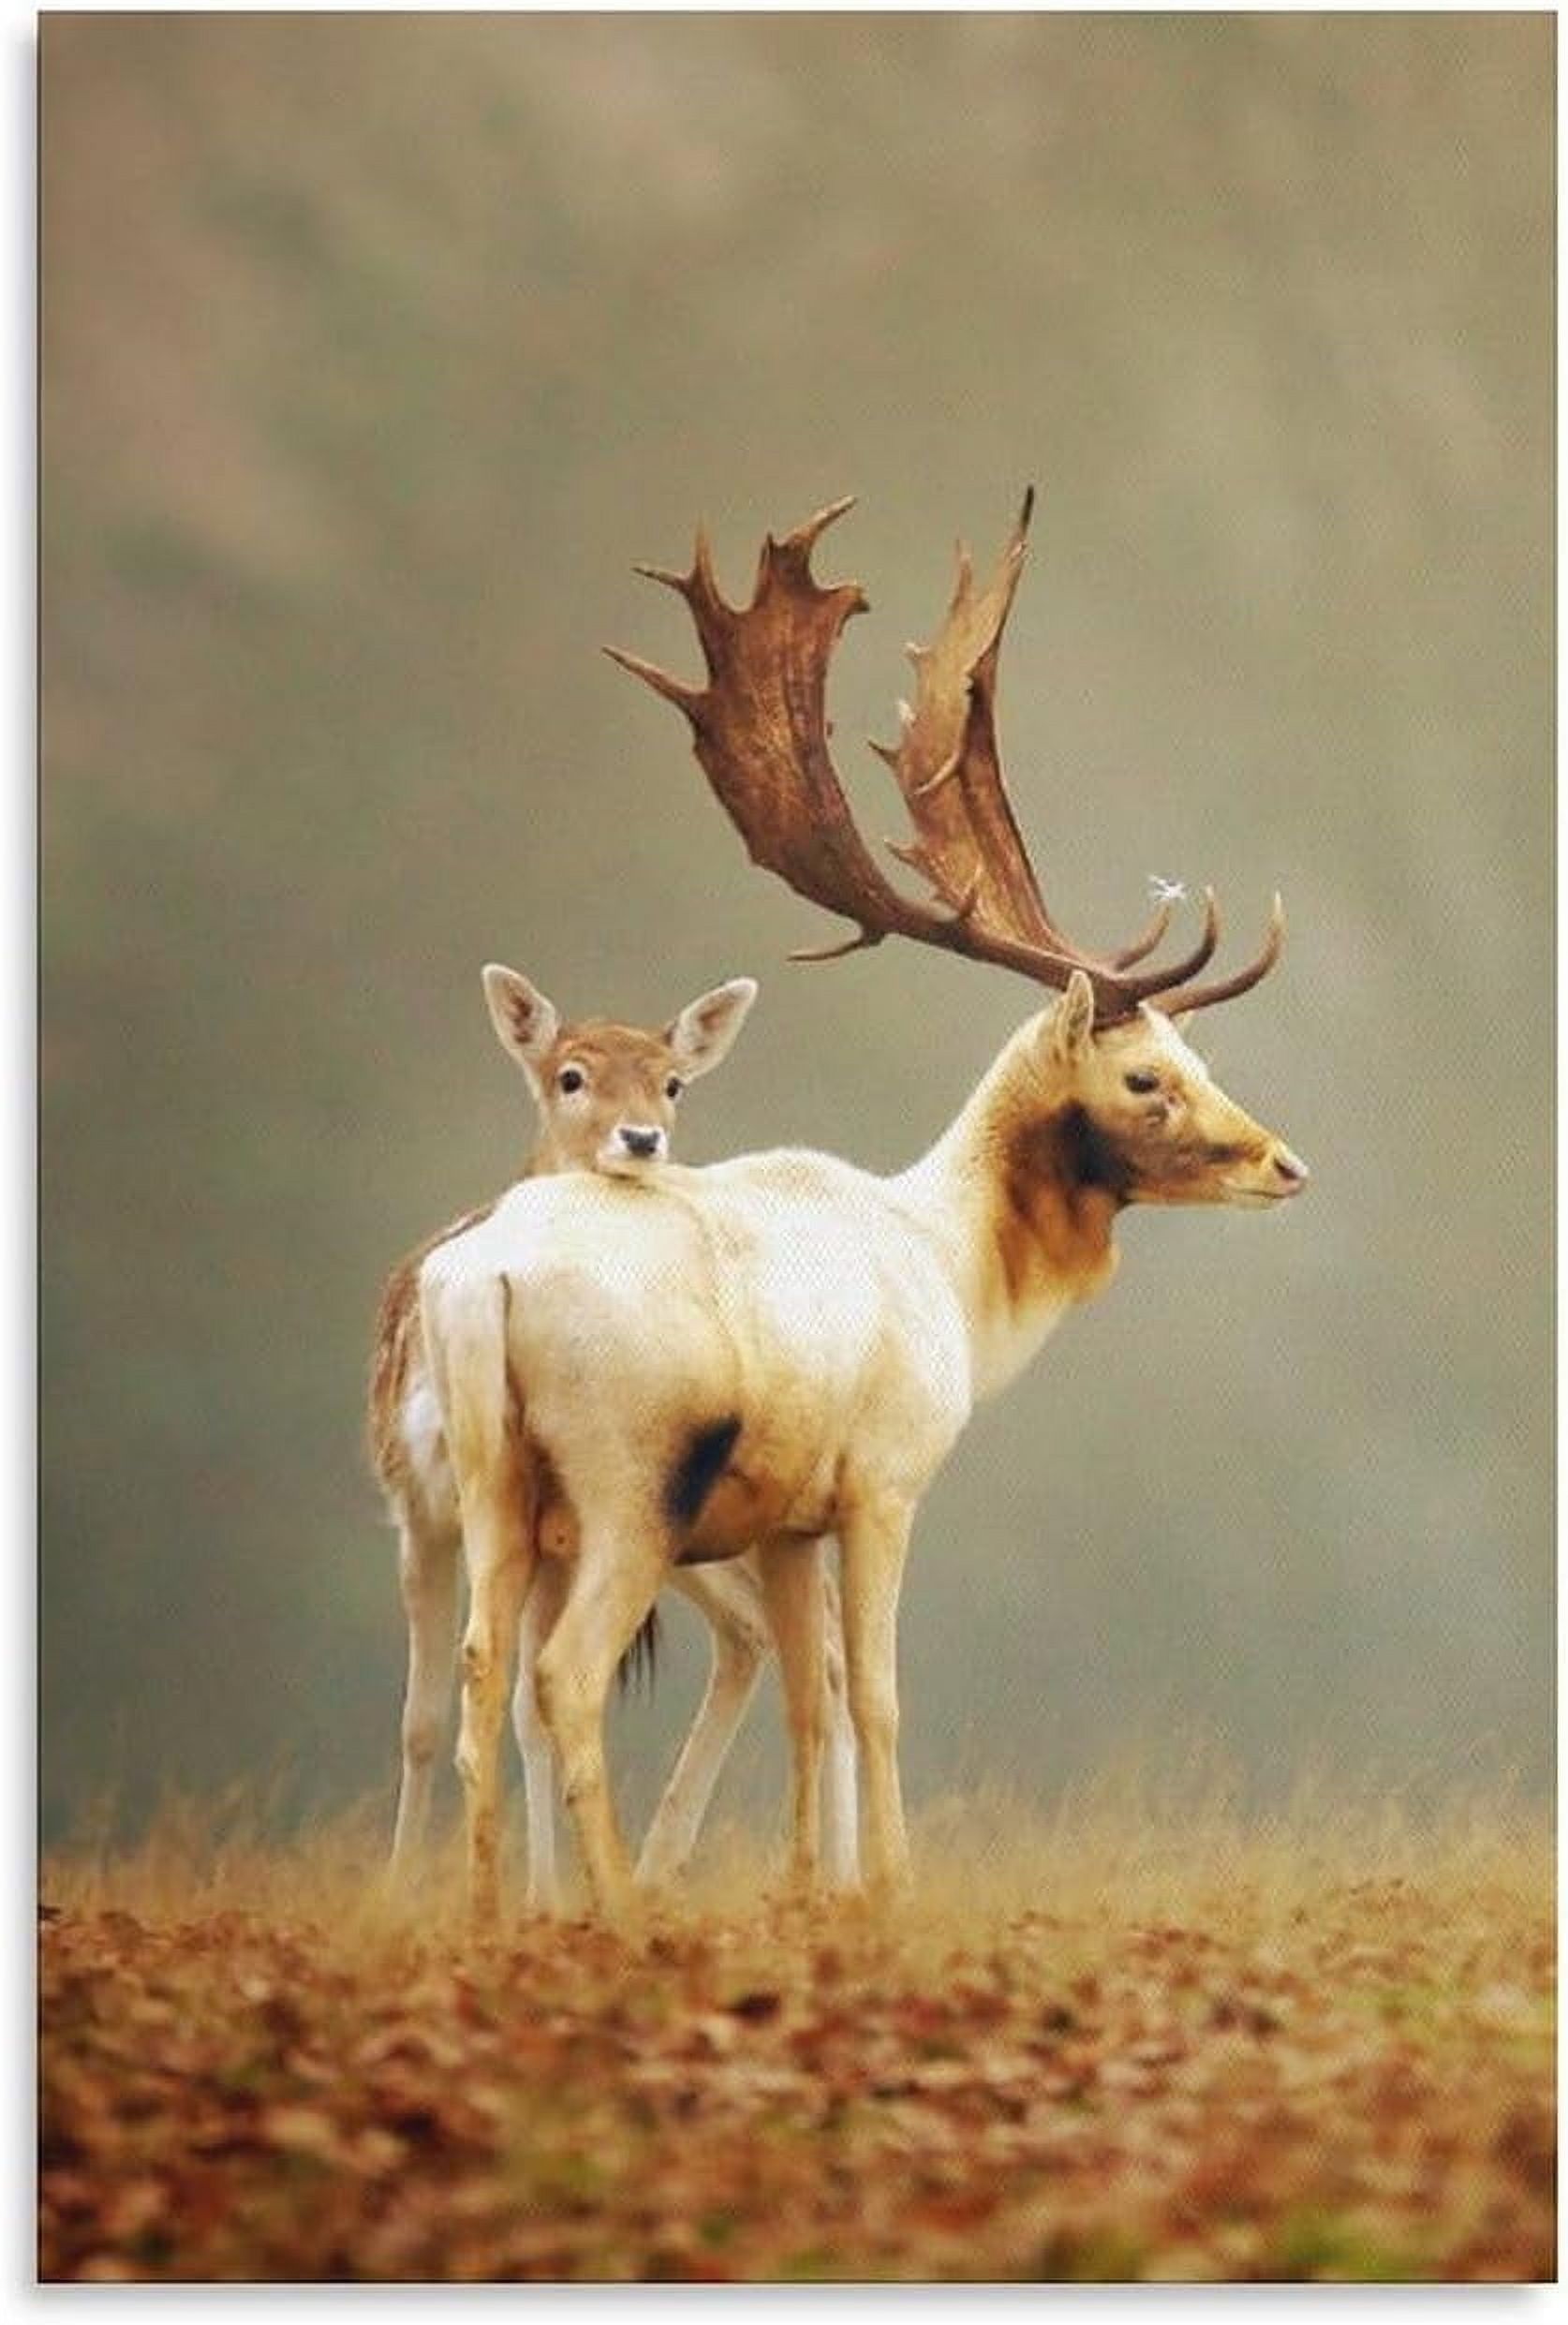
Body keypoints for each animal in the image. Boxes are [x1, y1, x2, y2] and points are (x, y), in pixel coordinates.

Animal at [369, 963, 858, 1907]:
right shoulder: (417, 1505)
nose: (642, 1139)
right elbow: (427, 1716)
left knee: (805, 1647)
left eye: (673, 1082)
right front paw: (422, 1888)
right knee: (776, 1642)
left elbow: (508, 1705)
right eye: (571, 1075)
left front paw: (538, 1896)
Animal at [419, 492, 1308, 1924]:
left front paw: (808, 1887)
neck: (953, 1272)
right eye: (1145, 1076)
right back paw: (617, 1905)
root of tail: (481, 1280)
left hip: (495, 1480)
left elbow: (811, 1700)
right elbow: (878, 1694)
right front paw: (890, 1881)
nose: (1283, 1162)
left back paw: (496, 1909)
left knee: (477, 1671)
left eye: (1196, 1051)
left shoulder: (787, 1515)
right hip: (627, 1481)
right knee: (562, 1675)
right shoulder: (887, 1475)